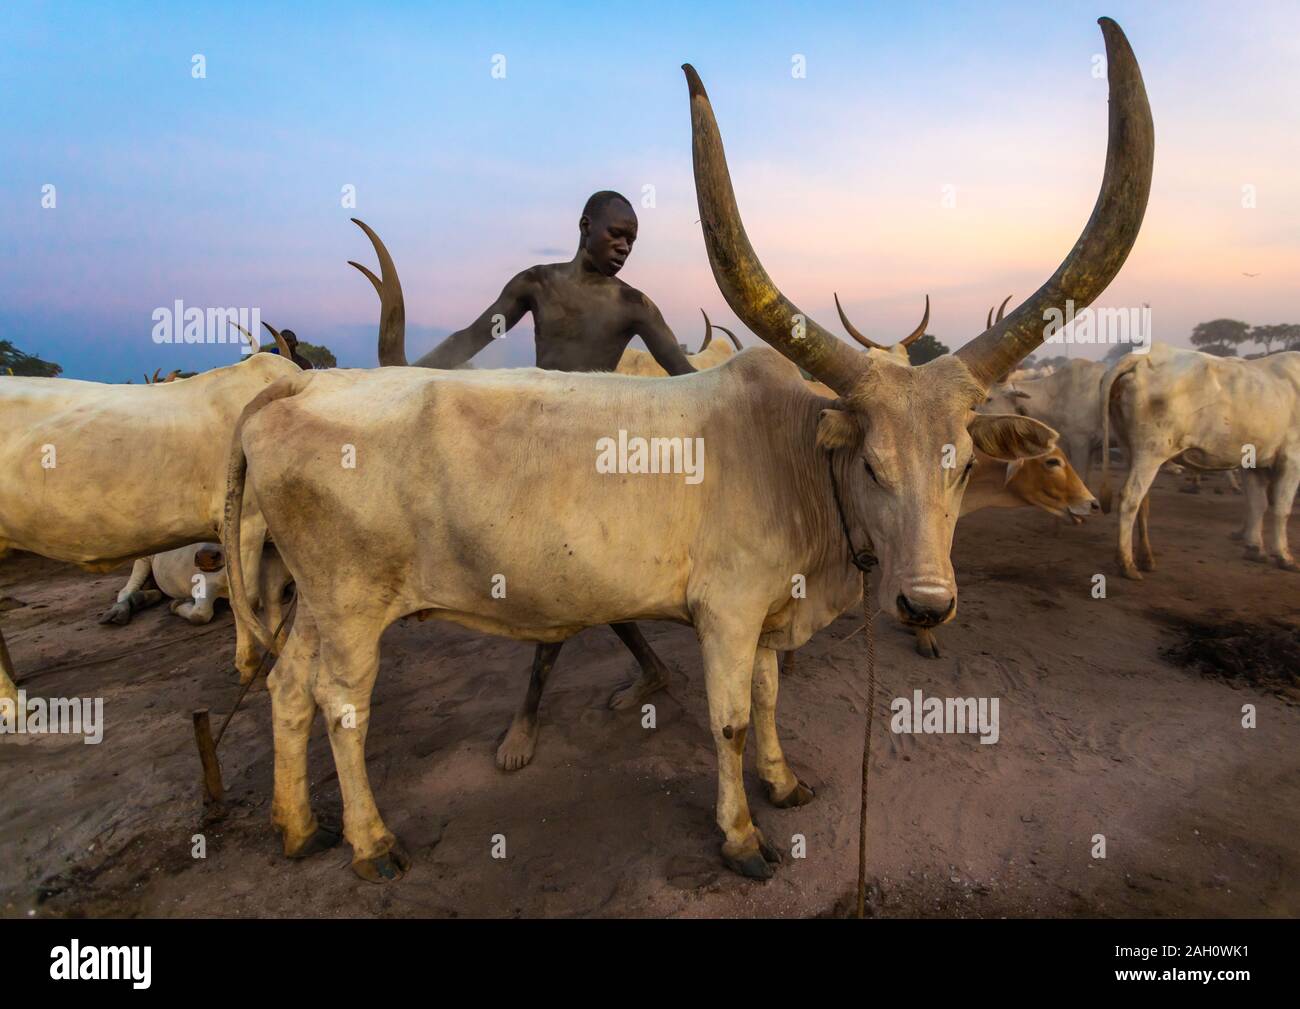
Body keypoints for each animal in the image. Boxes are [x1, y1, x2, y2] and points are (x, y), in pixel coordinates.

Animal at [219, 19, 1152, 883]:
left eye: (960, 464)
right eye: (873, 464)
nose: (925, 605)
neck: (799, 459)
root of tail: (293, 392)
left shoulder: (772, 616)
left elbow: (771, 704)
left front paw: (783, 783)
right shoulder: (728, 613)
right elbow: (732, 719)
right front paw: (741, 836)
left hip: (317, 602)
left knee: (288, 688)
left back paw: (298, 826)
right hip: (350, 605)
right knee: (341, 703)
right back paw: (370, 843)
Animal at [1098, 342, 1300, 578]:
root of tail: (1142, 357)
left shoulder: (1255, 463)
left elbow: (1257, 504)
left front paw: (1255, 548)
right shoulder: (1292, 459)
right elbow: (1281, 508)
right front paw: (1284, 556)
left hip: (1130, 448)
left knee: (1143, 501)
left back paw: (1146, 558)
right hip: (1151, 451)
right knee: (1130, 498)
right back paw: (1126, 563)